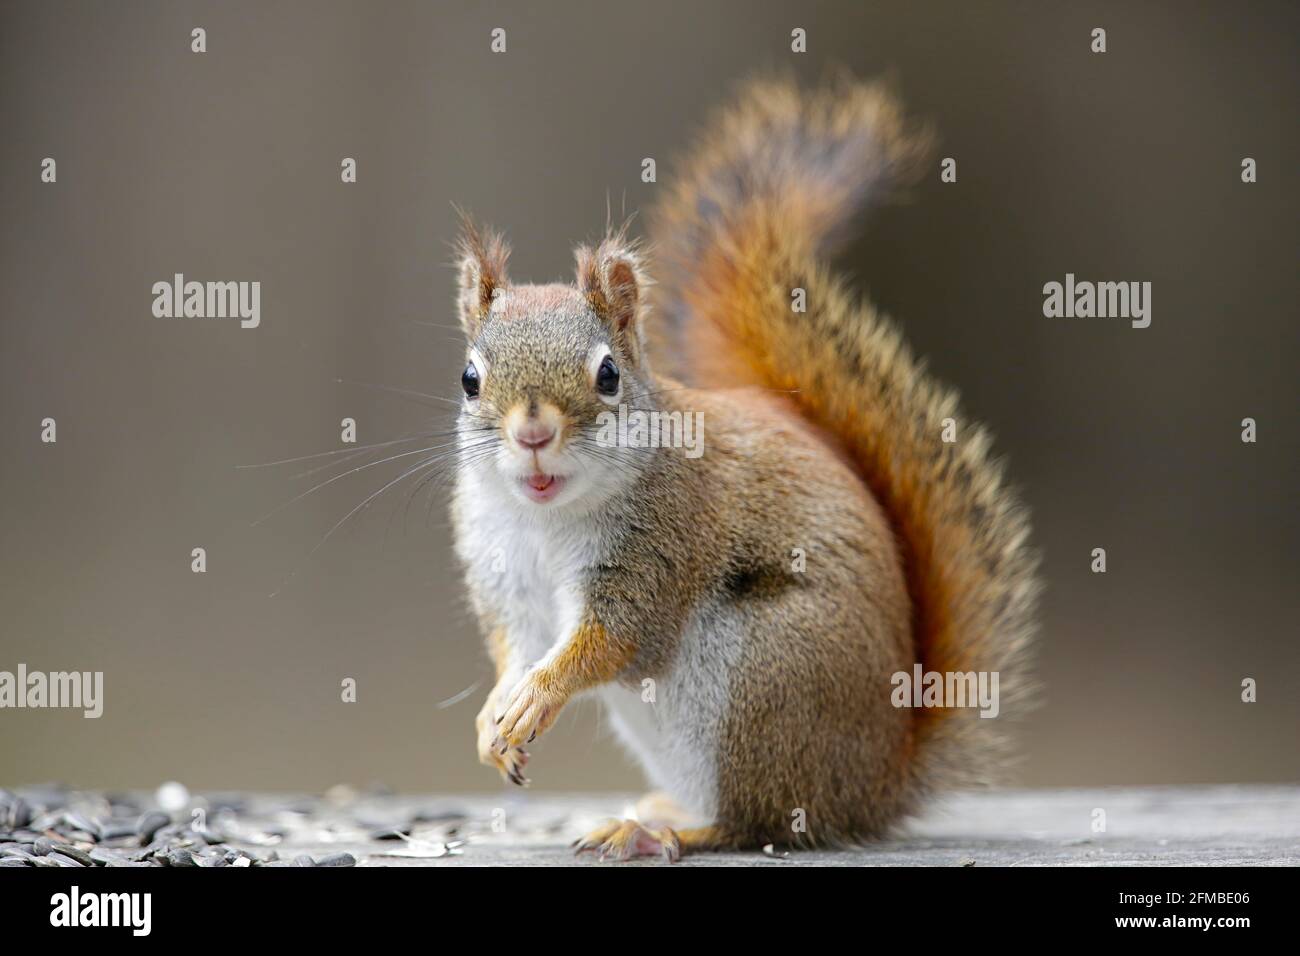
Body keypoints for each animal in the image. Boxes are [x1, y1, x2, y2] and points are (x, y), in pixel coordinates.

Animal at [449, 76, 1039, 861]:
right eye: (469, 380)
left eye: (608, 375)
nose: (534, 432)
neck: (547, 518)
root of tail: (876, 785)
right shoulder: (505, 573)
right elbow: (515, 647)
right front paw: (496, 718)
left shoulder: (664, 545)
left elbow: (613, 641)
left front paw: (537, 699)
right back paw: (659, 807)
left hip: (755, 685)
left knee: (756, 819)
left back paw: (659, 831)